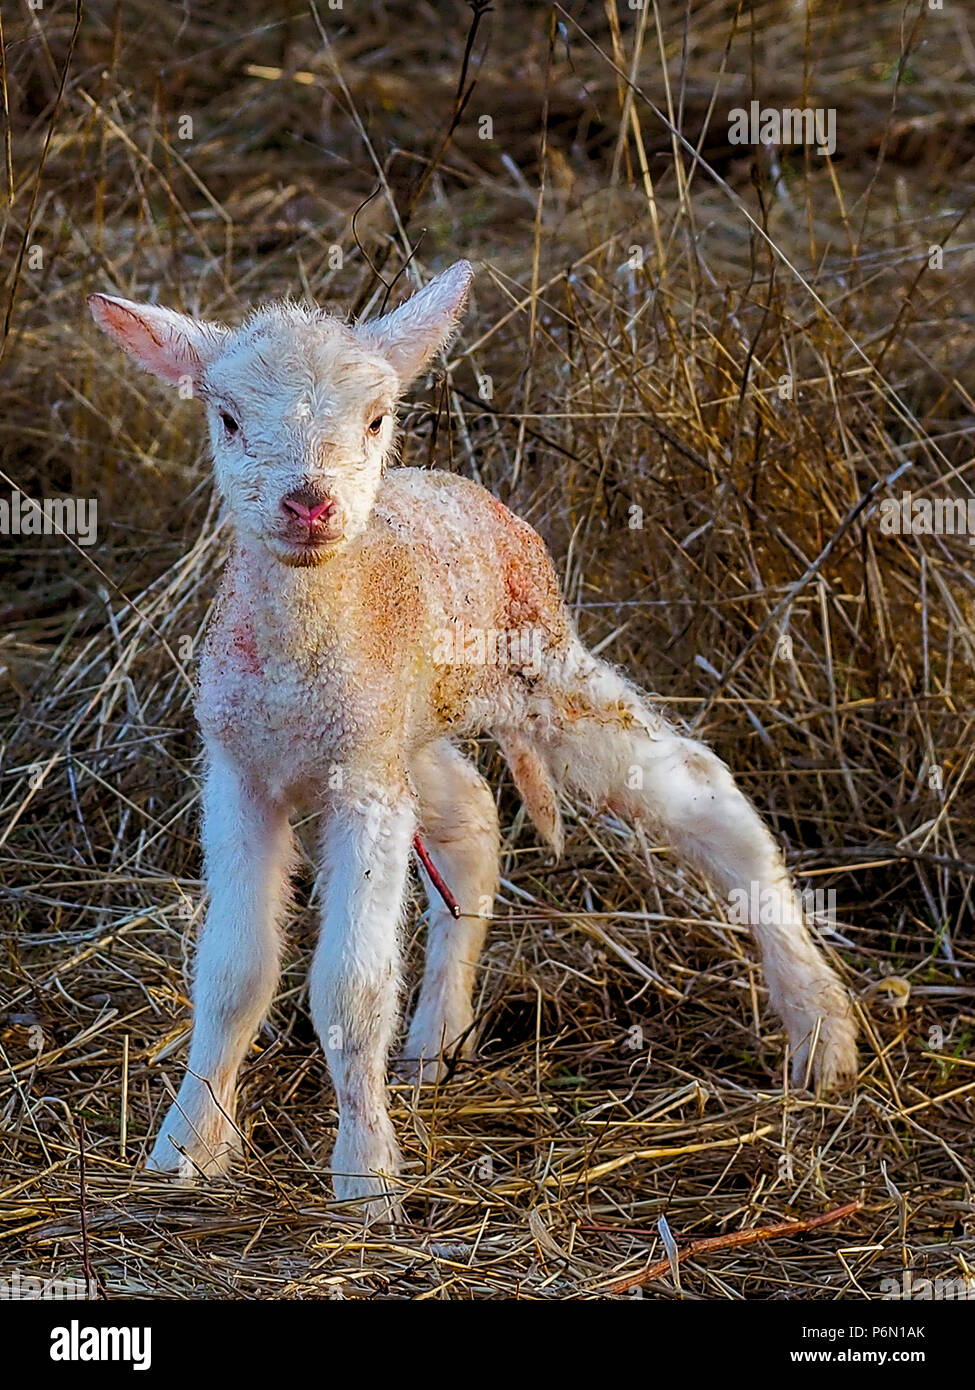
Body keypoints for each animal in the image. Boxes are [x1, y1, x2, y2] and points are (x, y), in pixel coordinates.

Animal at [88, 261, 858, 1220]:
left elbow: (349, 988)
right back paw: (433, 1045)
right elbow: (233, 978)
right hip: (416, 732)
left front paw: (366, 1182)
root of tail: (459, 490)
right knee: (477, 823)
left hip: (541, 671)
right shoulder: (242, 773)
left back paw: (820, 1033)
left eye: (375, 417)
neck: (304, 647)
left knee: (704, 793)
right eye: (226, 418)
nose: (310, 504)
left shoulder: (365, 783)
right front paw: (185, 1152)